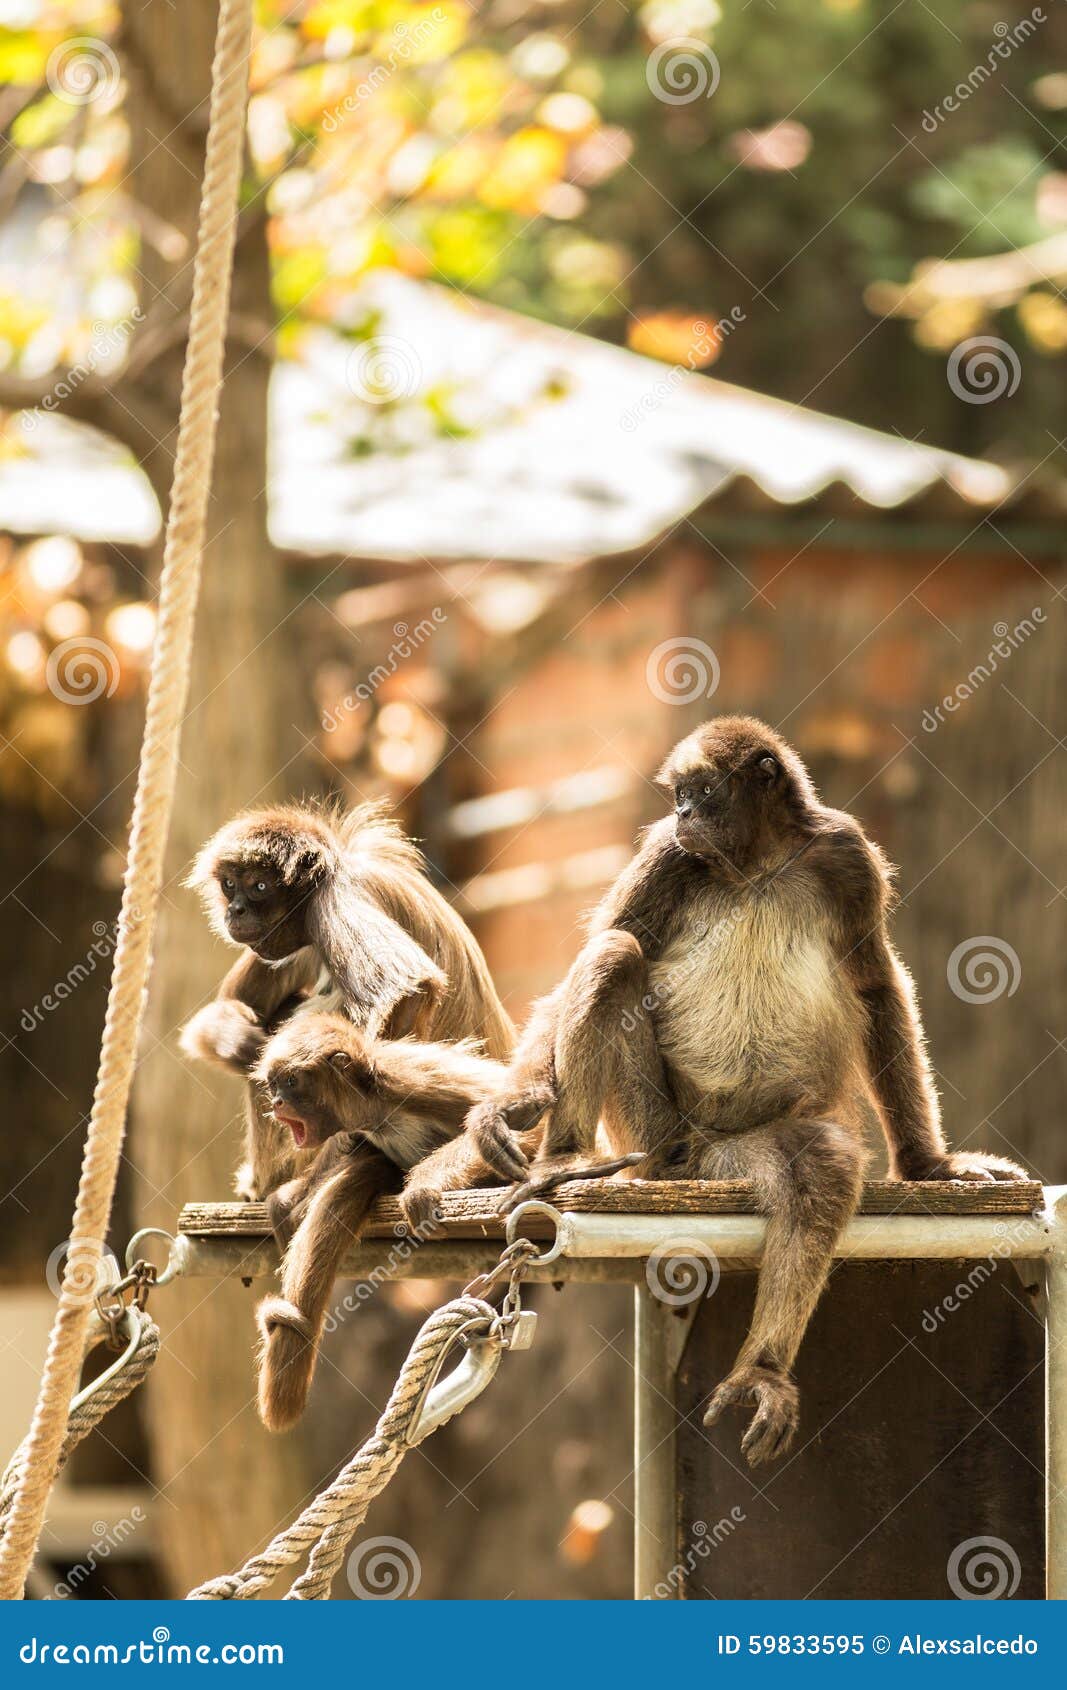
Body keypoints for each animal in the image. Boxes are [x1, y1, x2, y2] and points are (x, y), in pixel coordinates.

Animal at [179, 801, 514, 1200]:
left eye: (259, 886)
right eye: (230, 885)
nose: (236, 911)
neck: (335, 868)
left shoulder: (336, 898)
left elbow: (409, 991)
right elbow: (226, 1008)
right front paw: (242, 1044)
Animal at [461, 716, 1026, 1466]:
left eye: (702, 791)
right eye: (678, 796)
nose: (682, 814)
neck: (757, 866)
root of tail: (693, 1157)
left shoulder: (844, 853)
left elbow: (875, 984)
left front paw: (930, 1166)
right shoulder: (668, 856)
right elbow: (606, 946)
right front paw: (512, 1104)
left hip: (732, 1151)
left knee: (814, 1162)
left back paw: (761, 1368)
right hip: (648, 1132)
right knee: (614, 954)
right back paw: (564, 1159)